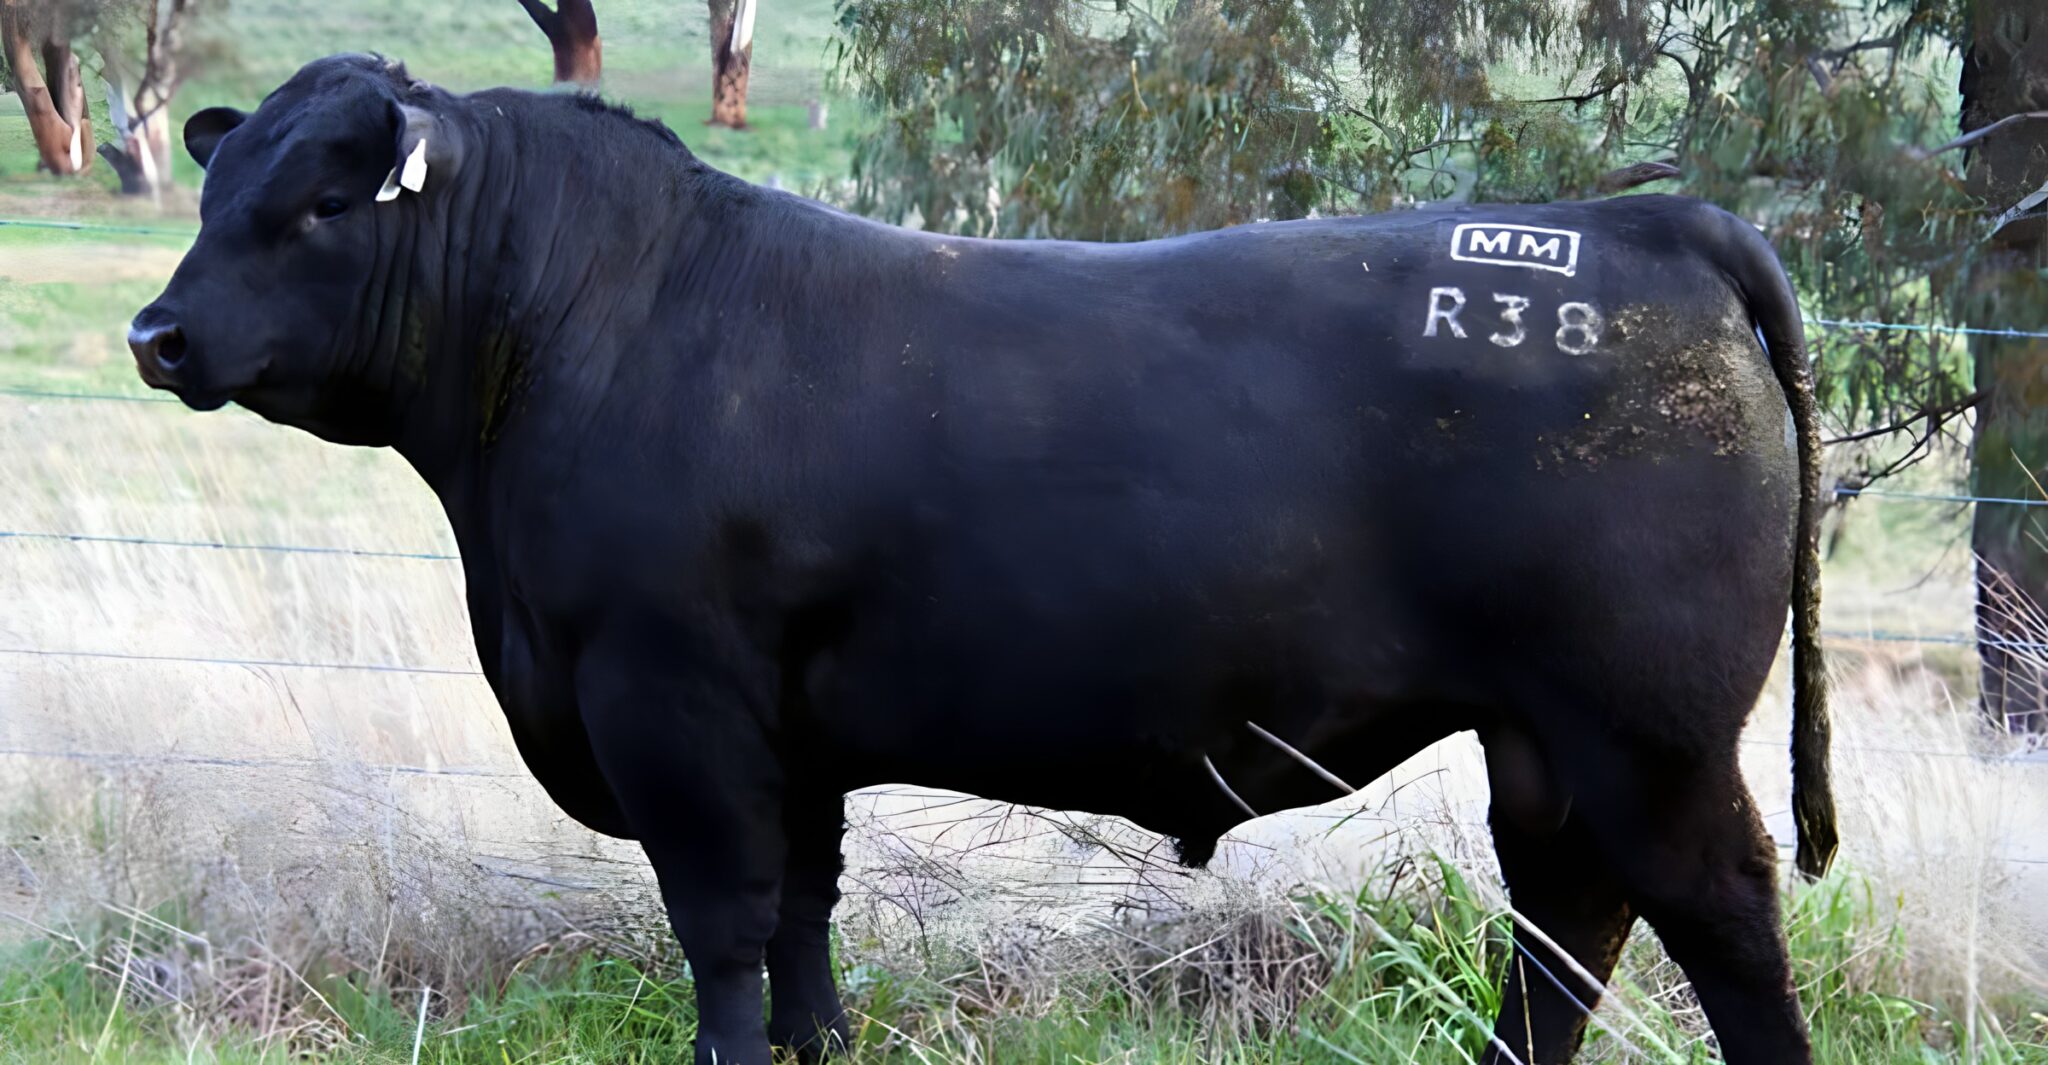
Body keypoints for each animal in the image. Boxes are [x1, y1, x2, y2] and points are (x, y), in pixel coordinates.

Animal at [129, 54, 1836, 1065]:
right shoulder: (790, 730)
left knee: (1717, 916)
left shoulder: (668, 696)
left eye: (323, 201)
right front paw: (819, 1049)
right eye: (217, 186)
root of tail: (1648, 226)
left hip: (1651, 730)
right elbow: (803, 913)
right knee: (1566, 923)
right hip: (1545, 741)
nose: (157, 334)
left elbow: (722, 918)